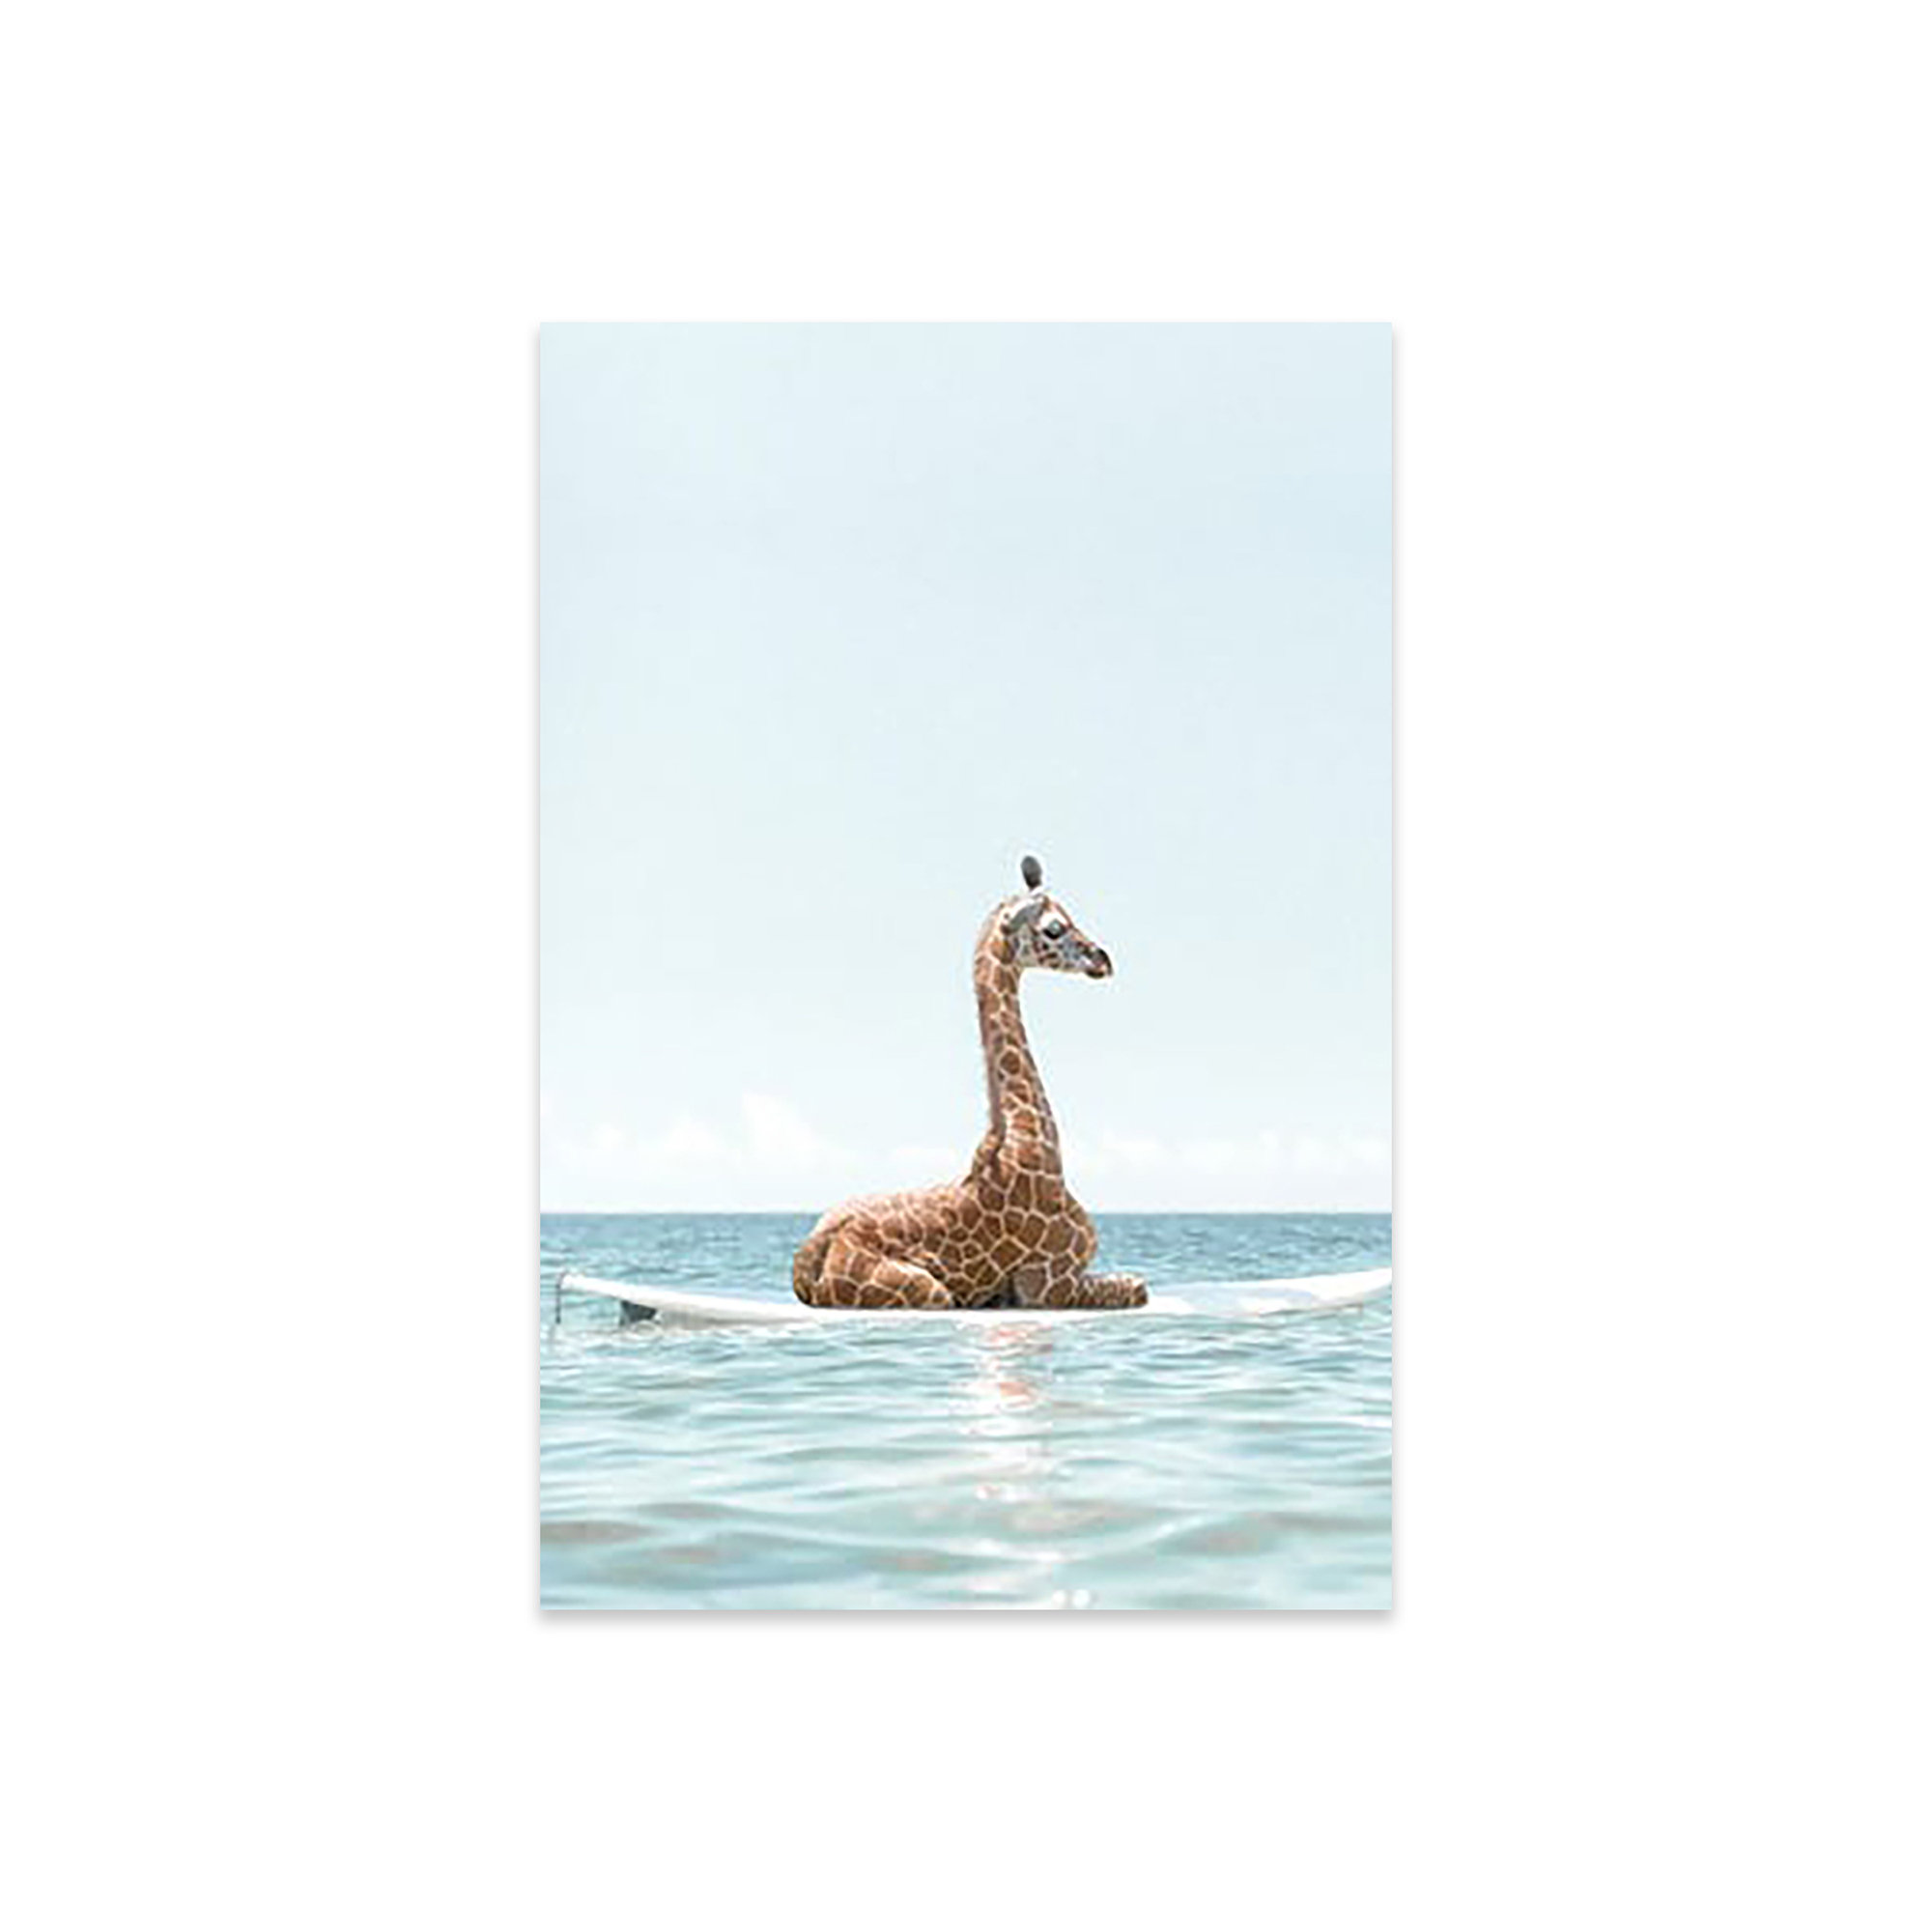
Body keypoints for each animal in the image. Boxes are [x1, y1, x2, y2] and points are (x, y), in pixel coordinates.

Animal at [792, 856, 1149, 1310]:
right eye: (1054, 928)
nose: (1102, 959)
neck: (1032, 1144)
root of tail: (803, 1266)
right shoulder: (1049, 1283)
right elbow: (1139, 1287)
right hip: (930, 1291)